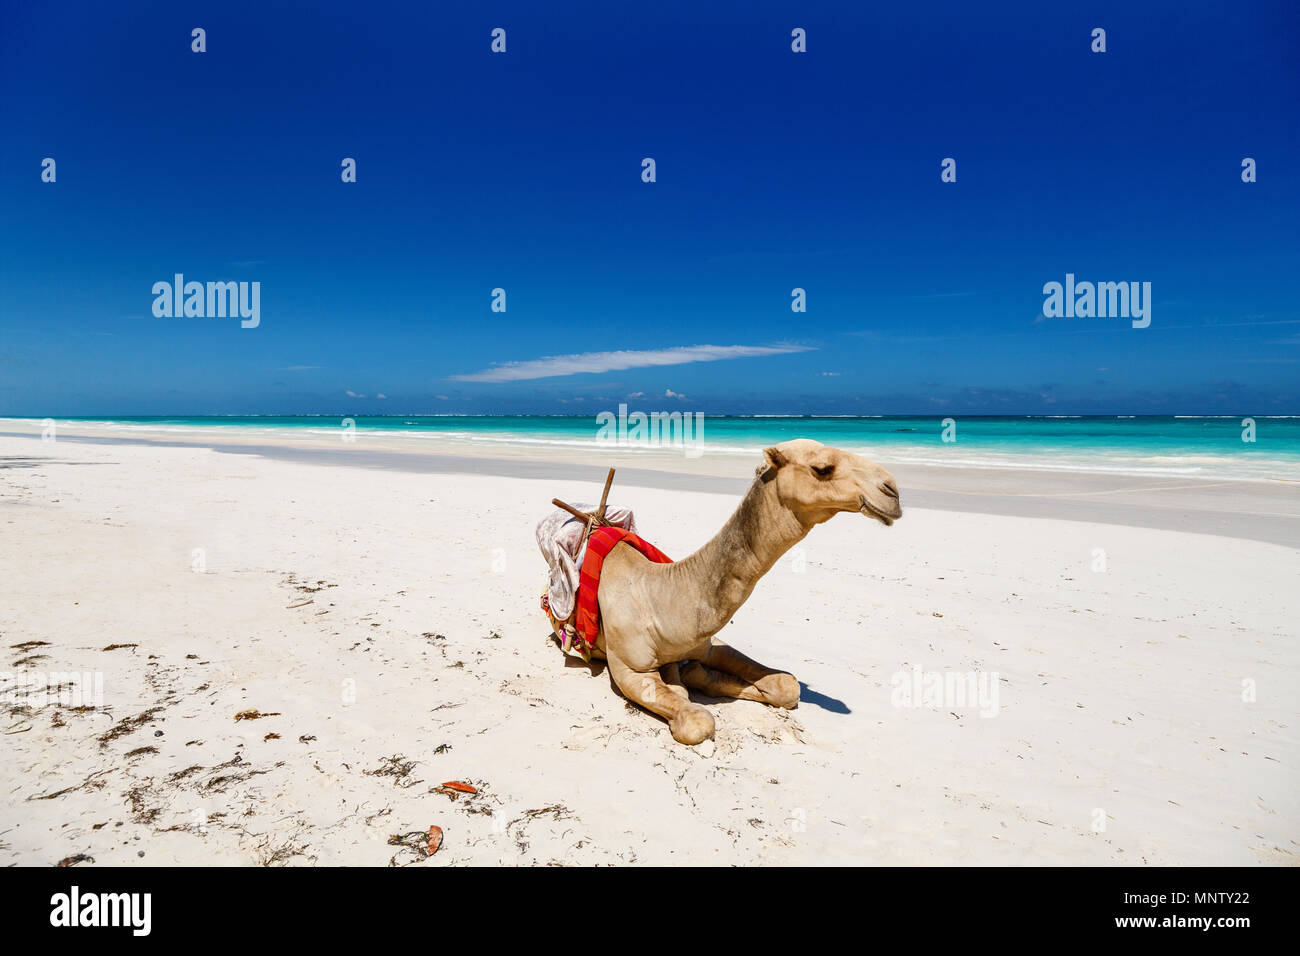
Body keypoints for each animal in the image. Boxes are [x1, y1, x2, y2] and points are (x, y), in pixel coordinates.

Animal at [580, 438, 902, 746]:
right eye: (822, 468)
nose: (892, 492)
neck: (659, 598)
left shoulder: (708, 644)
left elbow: (787, 685)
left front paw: (695, 673)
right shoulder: (631, 669)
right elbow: (698, 721)